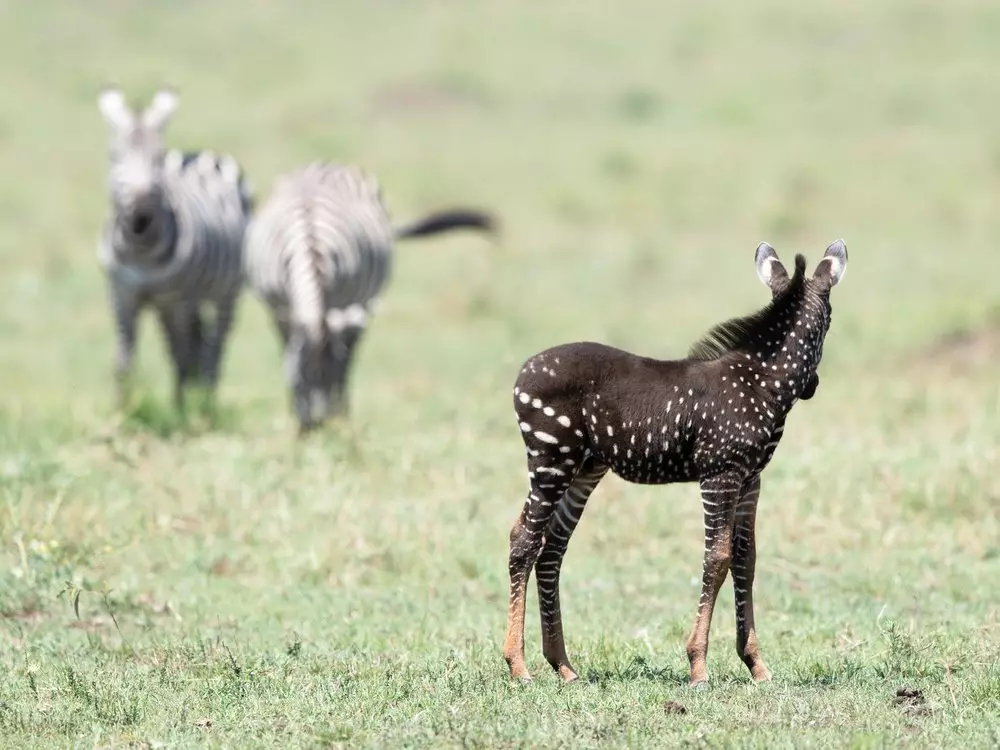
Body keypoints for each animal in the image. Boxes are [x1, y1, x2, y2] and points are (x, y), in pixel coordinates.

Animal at [96, 92, 254, 418]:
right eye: (114, 157)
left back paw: (206, 397)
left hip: (226, 293)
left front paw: (181, 413)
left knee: (214, 346)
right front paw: (121, 411)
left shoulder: (176, 299)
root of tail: (200, 152)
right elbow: (123, 359)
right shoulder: (122, 294)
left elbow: (181, 354)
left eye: (157, 159)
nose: (140, 217)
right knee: (197, 342)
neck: (140, 251)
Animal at [246, 164, 496, 434]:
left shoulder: (343, 308)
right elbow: (287, 353)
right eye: (299, 379)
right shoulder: (280, 309)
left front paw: (339, 414)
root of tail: (326, 164)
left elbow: (344, 364)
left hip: (363, 302)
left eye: (329, 378)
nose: (318, 426)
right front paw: (297, 413)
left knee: (352, 354)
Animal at [504, 239, 848, 688]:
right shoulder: (720, 473)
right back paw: (518, 665)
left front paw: (756, 664)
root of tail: (523, 370)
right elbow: (717, 558)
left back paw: (563, 665)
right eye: (829, 322)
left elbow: (746, 558)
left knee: (552, 549)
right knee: (523, 541)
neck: (761, 383)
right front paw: (698, 665)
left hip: (584, 468)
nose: (813, 388)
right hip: (550, 460)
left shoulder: (751, 478)